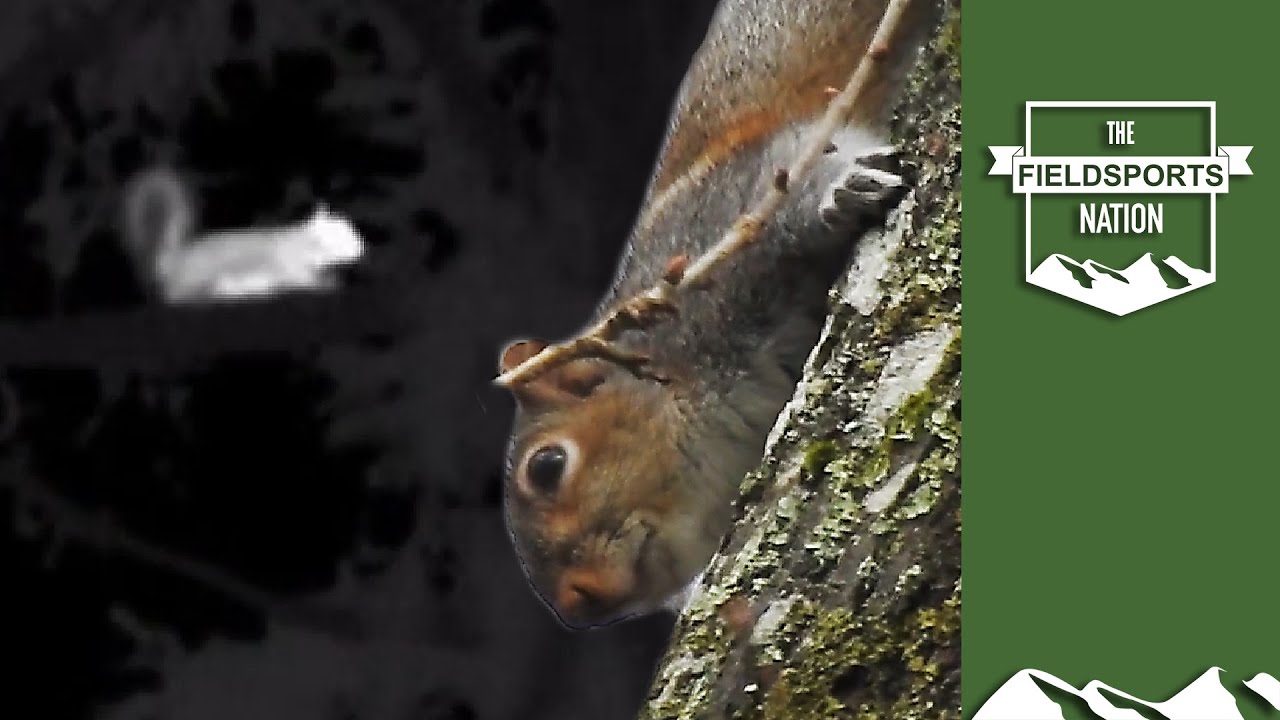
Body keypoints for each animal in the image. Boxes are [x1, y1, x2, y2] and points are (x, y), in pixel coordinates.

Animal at [120, 166, 365, 304]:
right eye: (339, 236)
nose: (361, 247)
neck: (303, 243)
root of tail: (173, 261)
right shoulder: (292, 267)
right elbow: (307, 281)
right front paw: (329, 283)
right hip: (197, 280)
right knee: (179, 297)